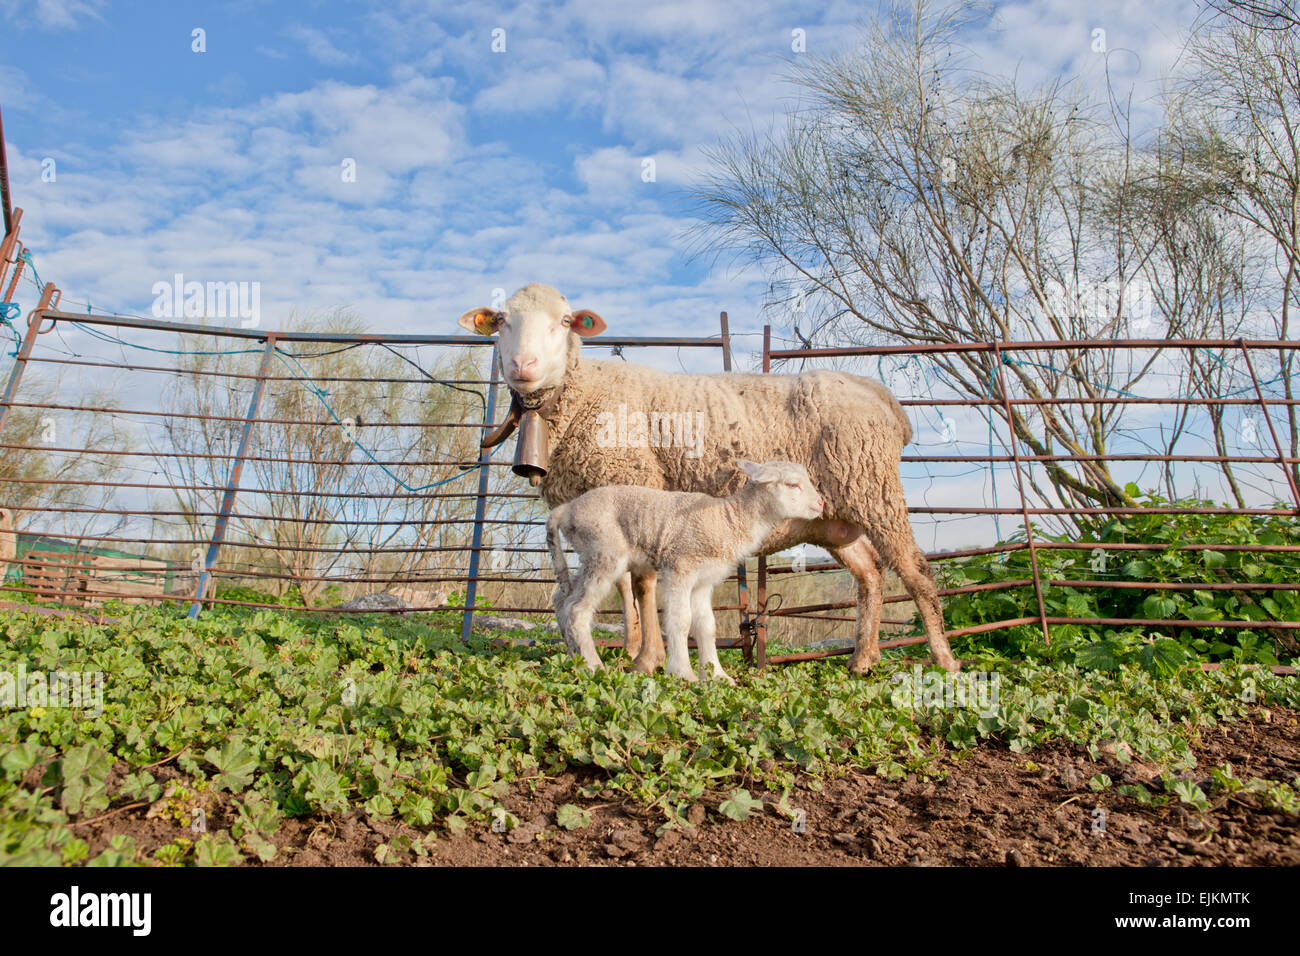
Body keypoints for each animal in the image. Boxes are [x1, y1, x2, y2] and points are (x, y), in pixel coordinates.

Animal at [547, 460, 825, 681]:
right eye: (793, 485)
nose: (821, 504)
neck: (728, 519)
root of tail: (566, 510)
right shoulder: (680, 567)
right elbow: (681, 621)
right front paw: (684, 673)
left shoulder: (703, 581)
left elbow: (706, 626)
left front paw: (717, 676)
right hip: (604, 550)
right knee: (577, 610)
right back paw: (594, 666)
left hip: (589, 555)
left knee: (562, 599)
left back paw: (575, 658)